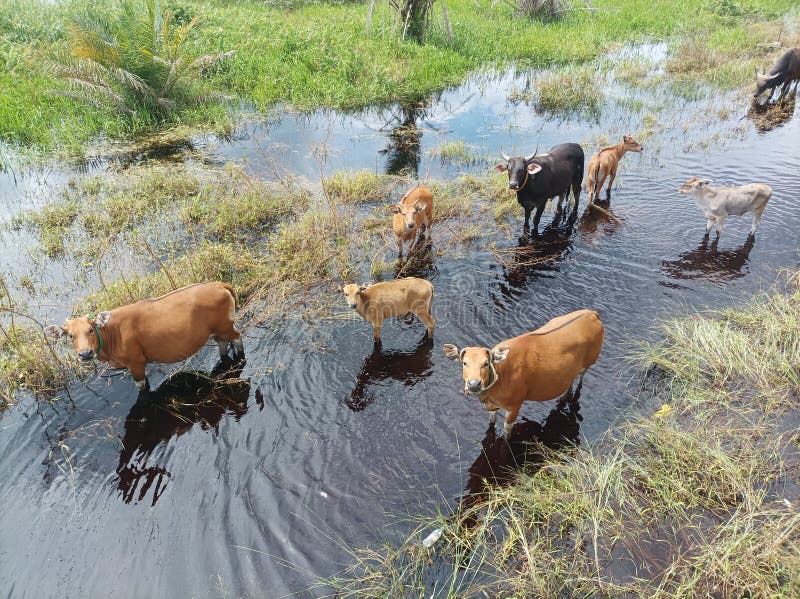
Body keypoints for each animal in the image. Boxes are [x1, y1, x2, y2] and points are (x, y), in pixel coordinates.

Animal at [45, 282, 244, 392]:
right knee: (222, 344)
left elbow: (143, 390)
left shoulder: (136, 363)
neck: (113, 333)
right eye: (70, 335)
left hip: (226, 326)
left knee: (237, 339)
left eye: (91, 329)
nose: (86, 354)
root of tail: (218, 285)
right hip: (216, 331)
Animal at [443, 309, 604, 434]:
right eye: (464, 363)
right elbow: (491, 422)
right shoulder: (493, 406)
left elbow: (507, 432)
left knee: (580, 382)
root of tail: (592, 313)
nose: (474, 384)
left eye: (486, 363)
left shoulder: (515, 405)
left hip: (588, 362)